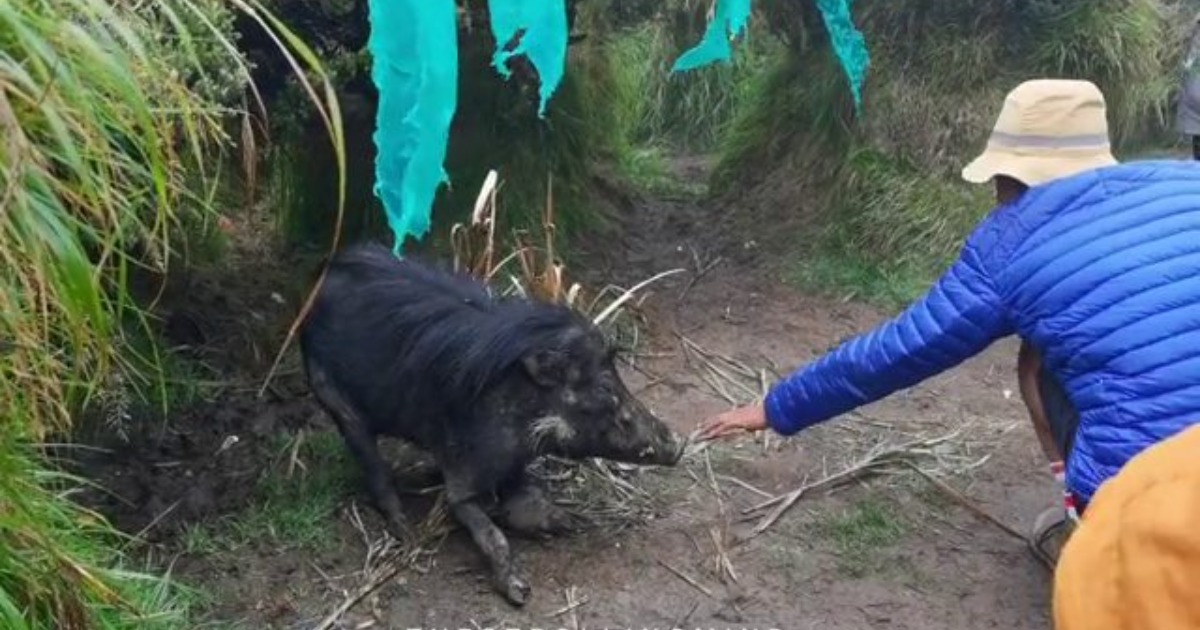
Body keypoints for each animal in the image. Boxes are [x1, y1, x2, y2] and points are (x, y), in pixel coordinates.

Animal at [297, 242, 686, 606]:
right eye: (605, 386)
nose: (677, 443)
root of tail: (321, 271)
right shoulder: (465, 481)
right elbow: (490, 532)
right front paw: (519, 593)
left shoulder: (514, 461)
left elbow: (528, 501)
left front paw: (572, 522)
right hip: (333, 397)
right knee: (372, 464)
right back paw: (405, 531)